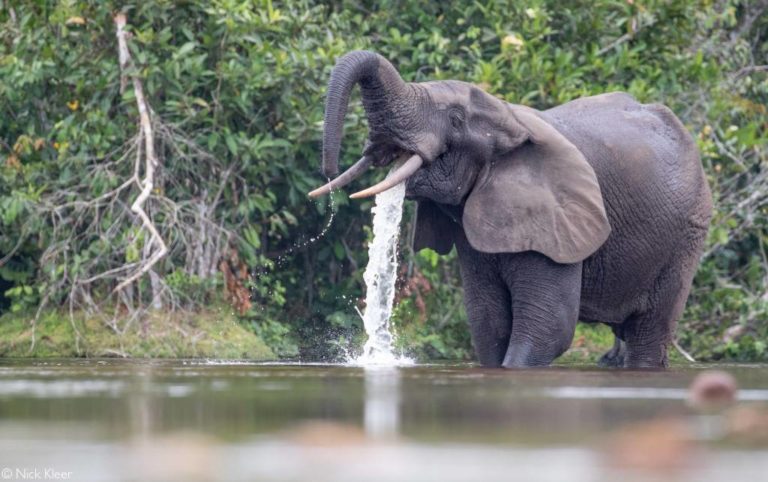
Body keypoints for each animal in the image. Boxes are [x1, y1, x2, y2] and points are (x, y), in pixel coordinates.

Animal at [309, 50, 712, 368]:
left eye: (455, 119)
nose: (327, 170)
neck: (508, 117)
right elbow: (489, 325)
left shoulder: (553, 222)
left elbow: (548, 328)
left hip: (688, 234)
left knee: (648, 333)